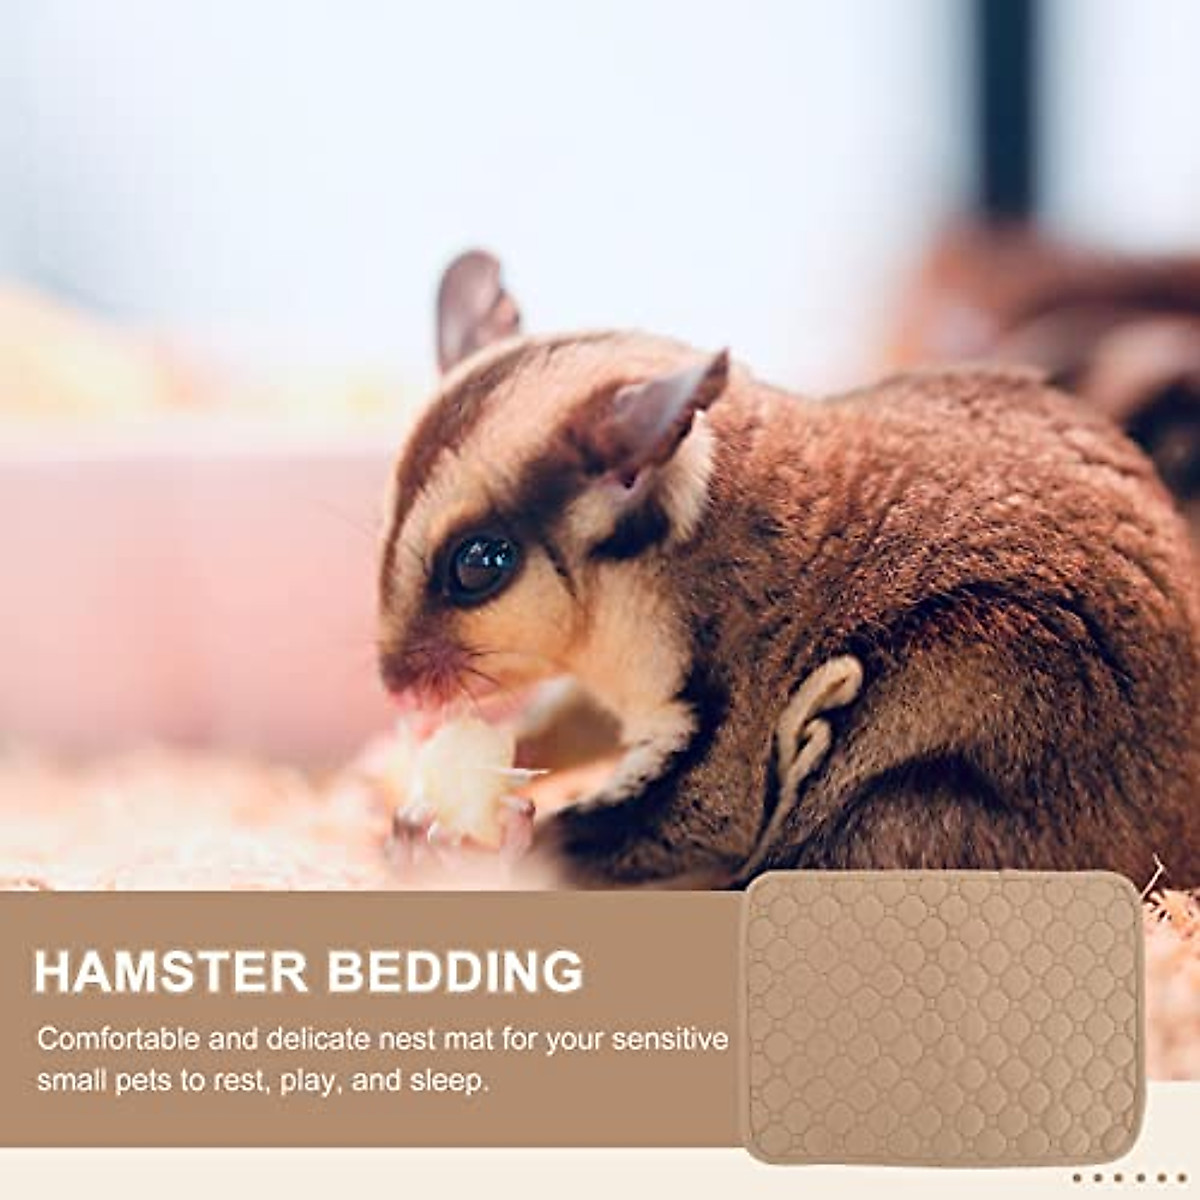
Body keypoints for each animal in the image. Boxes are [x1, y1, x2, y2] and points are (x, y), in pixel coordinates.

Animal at [376, 250, 1200, 888]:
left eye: (479, 564)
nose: (397, 690)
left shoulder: (727, 712)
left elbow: (681, 816)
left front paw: (494, 841)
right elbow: (570, 721)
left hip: (948, 738)